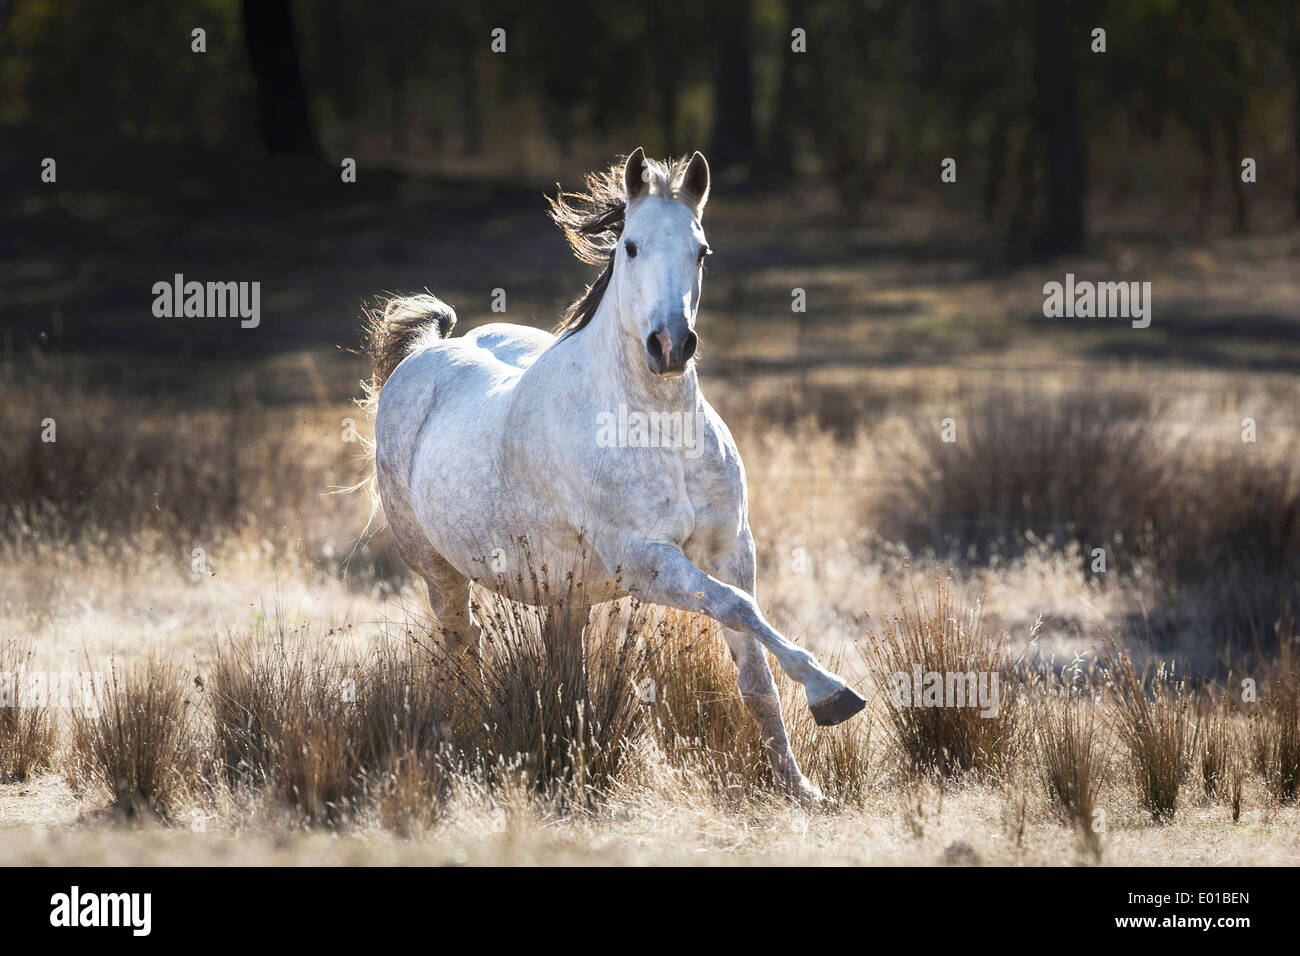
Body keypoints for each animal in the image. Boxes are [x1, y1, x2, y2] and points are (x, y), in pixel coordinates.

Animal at [362, 148, 866, 801]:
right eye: (629, 245)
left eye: (702, 251)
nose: (670, 345)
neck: (658, 433)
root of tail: (423, 355)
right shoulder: (644, 559)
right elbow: (735, 607)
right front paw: (831, 693)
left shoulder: (731, 547)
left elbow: (753, 666)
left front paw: (800, 788)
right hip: (440, 573)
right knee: (461, 651)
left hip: (565, 594)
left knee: (562, 674)